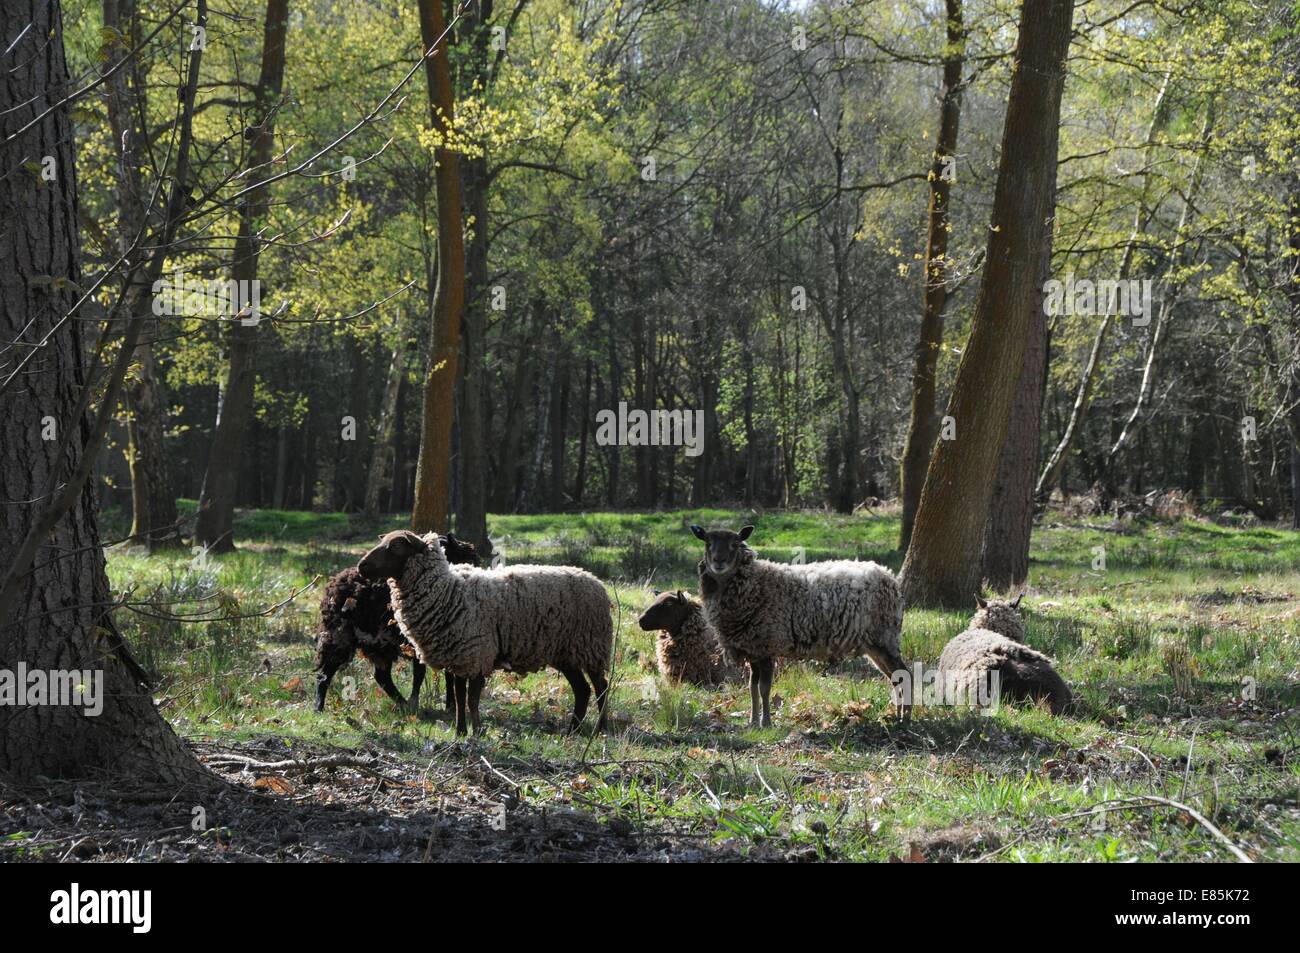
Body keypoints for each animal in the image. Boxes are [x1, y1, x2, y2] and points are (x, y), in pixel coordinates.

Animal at [313, 532, 480, 713]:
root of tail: (334, 583)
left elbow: (448, 676)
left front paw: (450, 706)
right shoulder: (415, 642)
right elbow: (419, 674)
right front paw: (416, 701)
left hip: (377, 643)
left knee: (382, 677)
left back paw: (402, 704)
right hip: (340, 636)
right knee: (325, 674)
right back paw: (318, 708)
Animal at [357, 530, 612, 736]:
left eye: (396, 547)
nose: (361, 566)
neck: (447, 590)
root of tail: (596, 581)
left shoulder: (478, 655)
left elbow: (471, 699)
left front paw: (477, 731)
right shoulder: (460, 656)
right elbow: (459, 697)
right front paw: (460, 732)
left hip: (590, 646)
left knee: (601, 686)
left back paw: (600, 730)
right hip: (566, 652)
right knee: (582, 690)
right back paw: (573, 731)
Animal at [690, 524, 908, 727]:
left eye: (735, 544)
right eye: (707, 543)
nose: (718, 561)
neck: (754, 583)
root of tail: (890, 578)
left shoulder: (767, 645)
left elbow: (764, 688)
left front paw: (766, 723)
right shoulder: (753, 649)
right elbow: (752, 688)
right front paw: (752, 722)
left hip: (884, 637)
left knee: (904, 675)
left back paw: (905, 718)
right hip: (874, 645)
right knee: (895, 678)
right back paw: (898, 715)